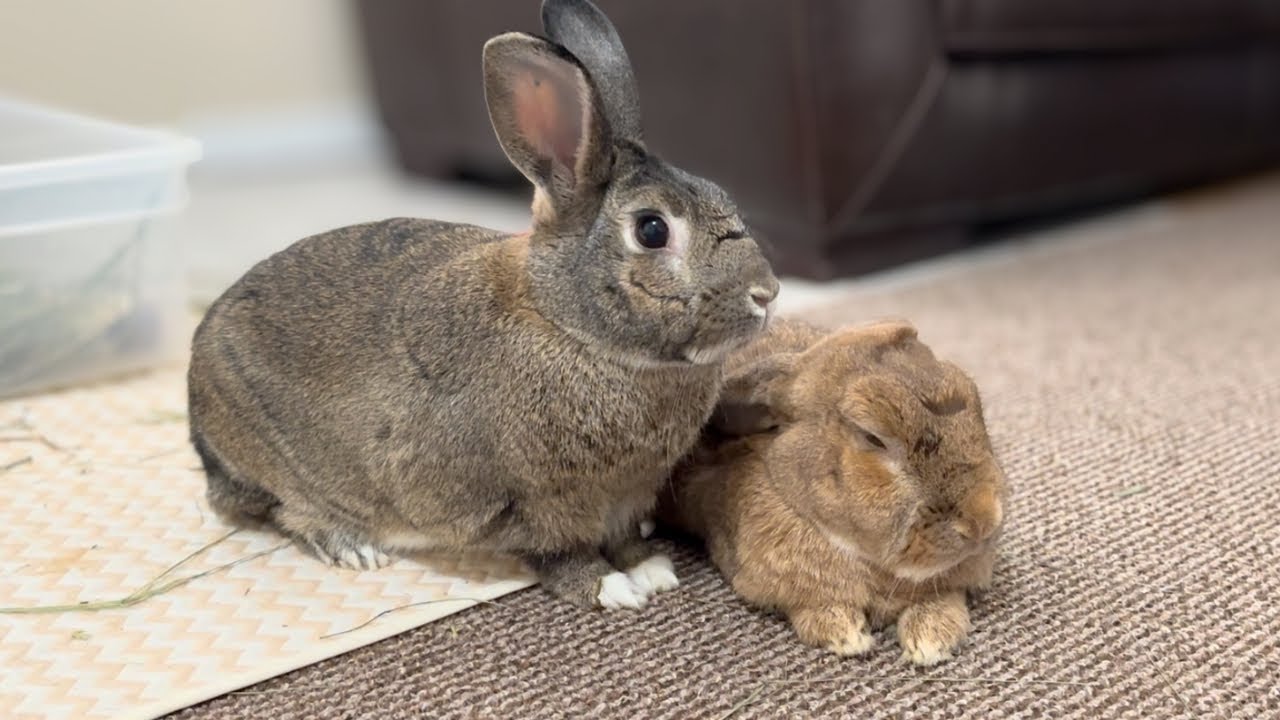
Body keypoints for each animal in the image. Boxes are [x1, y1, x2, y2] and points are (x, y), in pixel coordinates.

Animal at [186, 0, 779, 611]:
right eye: (653, 230)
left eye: (722, 195)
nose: (767, 292)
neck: (568, 325)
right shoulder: (536, 505)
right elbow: (561, 556)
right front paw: (612, 589)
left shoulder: (627, 495)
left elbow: (623, 536)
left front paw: (651, 569)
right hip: (280, 466)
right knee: (290, 512)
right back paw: (353, 549)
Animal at [661, 318, 1007, 663]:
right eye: (872, 437)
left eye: (976, 402)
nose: (982, 520)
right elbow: (809, 606)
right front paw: (845, 636)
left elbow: (946, 597)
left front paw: (931, 641)